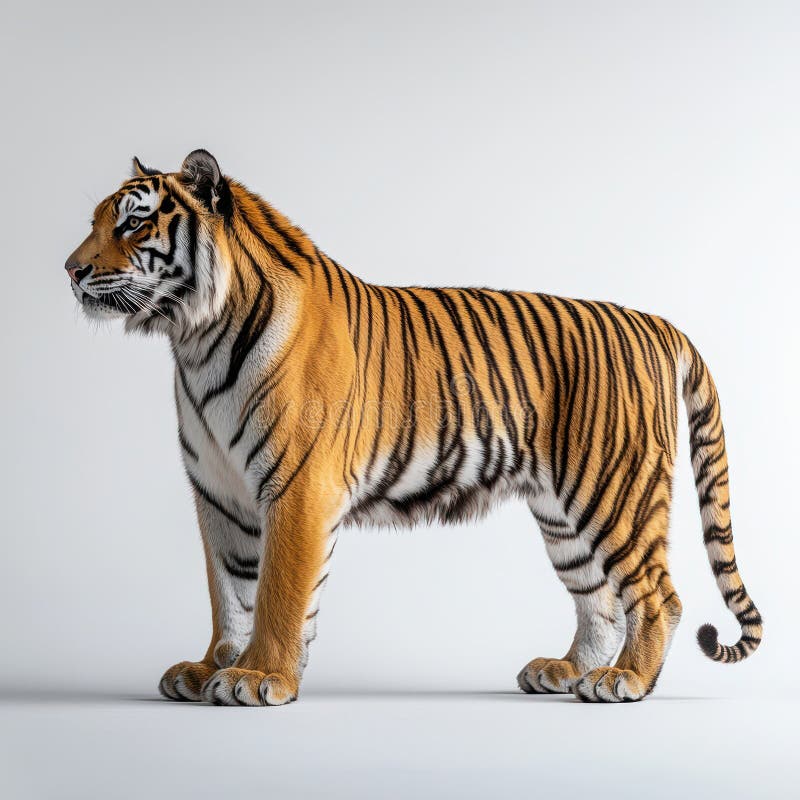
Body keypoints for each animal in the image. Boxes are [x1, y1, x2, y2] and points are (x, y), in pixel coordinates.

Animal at [65, 149, 762, 705]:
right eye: (97, 220)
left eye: (133, 222)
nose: (70, 269)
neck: (196, 337)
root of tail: (655, 322)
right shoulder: (218, 493)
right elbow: (229, 592)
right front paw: (209, 667)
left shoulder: (297, 488)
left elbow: (278, 592)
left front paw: (259, 677)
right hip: (563, 516)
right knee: (599, 602)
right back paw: (565, 672)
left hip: (614, 495)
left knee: (657, 596)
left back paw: (627, 681)